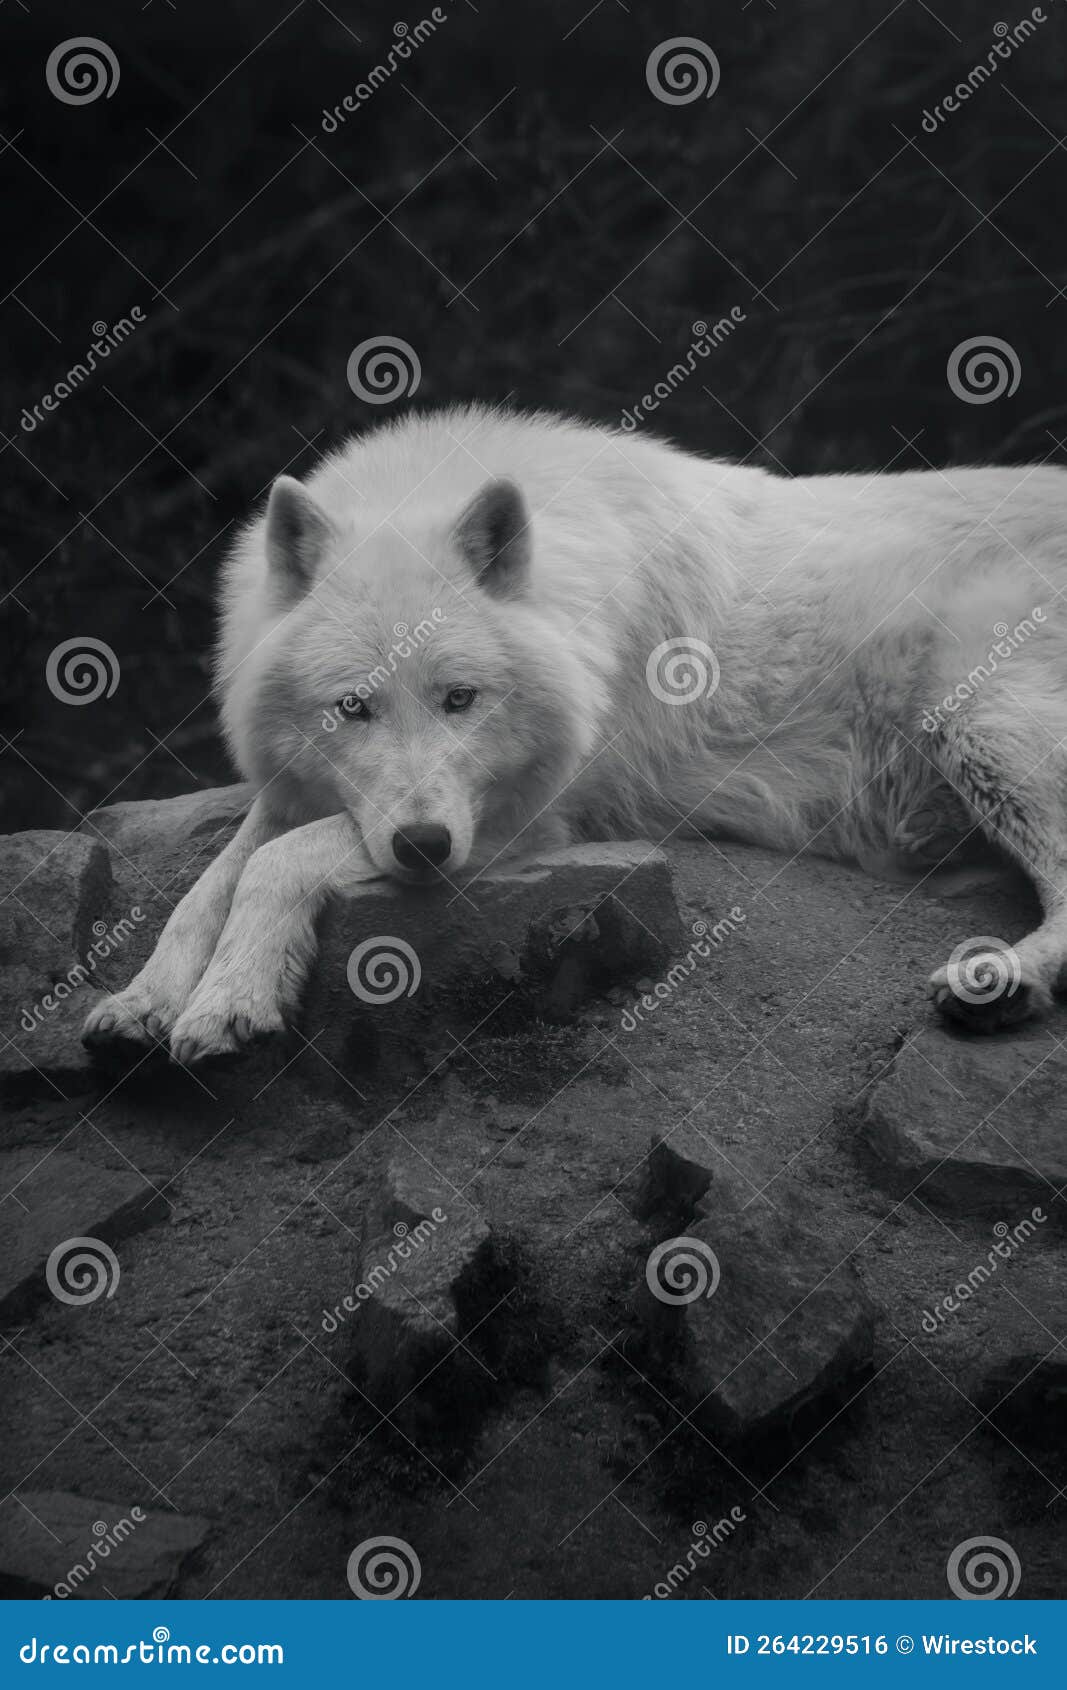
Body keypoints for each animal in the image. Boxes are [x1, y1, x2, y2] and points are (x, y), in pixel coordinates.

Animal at [82, 404, 1067, 1064]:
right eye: (353, 708)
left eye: (461, 699)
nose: (423, 846)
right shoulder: (310, 793)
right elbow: (210, 882)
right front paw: (144, 999)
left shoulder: (529, 817)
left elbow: (273, 864)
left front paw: (228, 999)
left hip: (976, 717)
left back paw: (1005, 983)